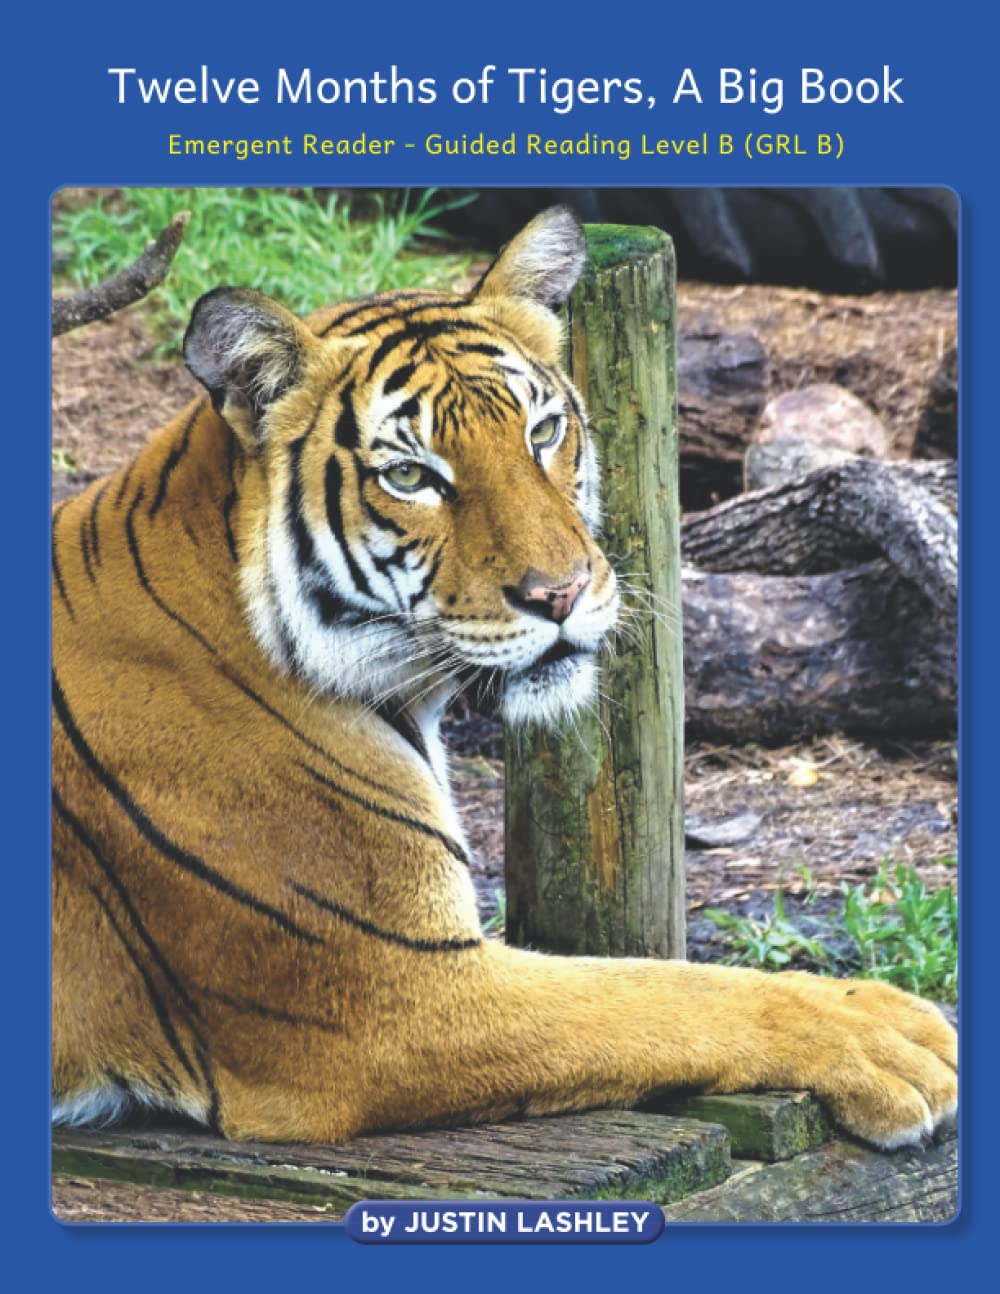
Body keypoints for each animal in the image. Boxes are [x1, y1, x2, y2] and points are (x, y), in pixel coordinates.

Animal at [52, 205, 957, 1149]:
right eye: (410, 475)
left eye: (542, 432)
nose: (559, 593)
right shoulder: (394, 996)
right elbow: (658, 994)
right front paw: (891, 1034)